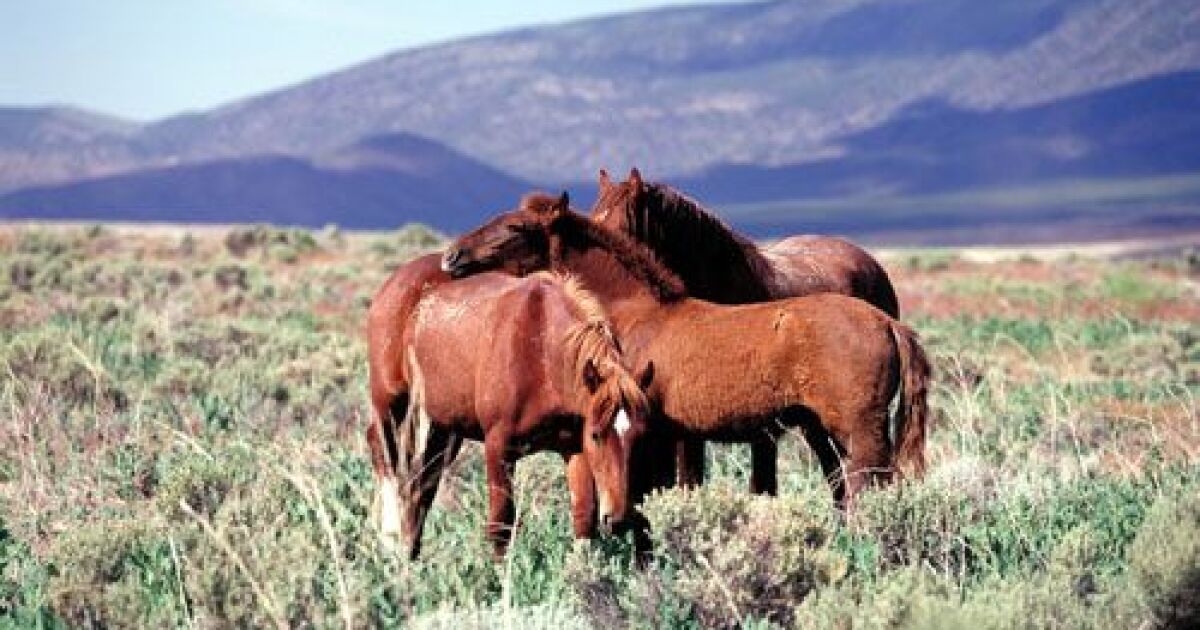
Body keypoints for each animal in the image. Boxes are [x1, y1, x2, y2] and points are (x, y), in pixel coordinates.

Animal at [368, 263, 652, 558]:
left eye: (641, 437)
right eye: (596, 435)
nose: (619, 519)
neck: (541, 351)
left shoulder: (574, 449)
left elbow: (584, 519)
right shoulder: (498, 447)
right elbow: (501, 524)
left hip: (442, 426)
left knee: (421, 484)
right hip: (389, 402)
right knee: (383, 452)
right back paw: (390, 537)